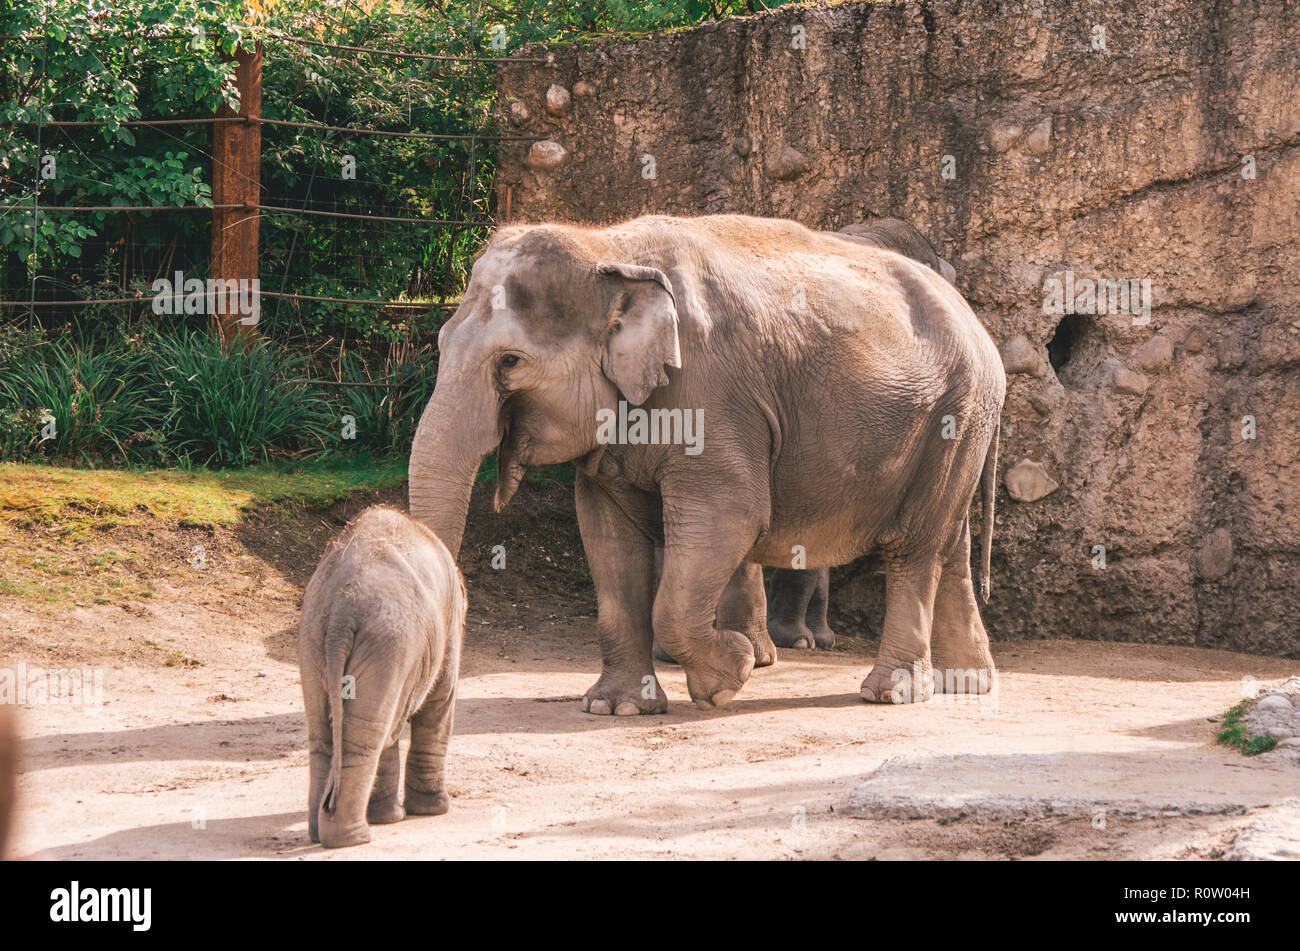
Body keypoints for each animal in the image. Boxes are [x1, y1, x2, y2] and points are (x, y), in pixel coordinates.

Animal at [300, 505, 466, 848]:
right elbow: (439, 704)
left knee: (328, 734)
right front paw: (433, 811)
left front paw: (388, 817)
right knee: (367, 734)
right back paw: (353, 838)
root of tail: (341, 609)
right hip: (390, 639)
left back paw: (320, 832)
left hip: (315, 637)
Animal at [409, 213, 1005, 713]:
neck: (610, 248)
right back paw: (966, 684)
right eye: (439, 341)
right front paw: (616, 707)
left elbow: (729, 517)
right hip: (958, 427)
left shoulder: (713, 398)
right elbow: (607, 535)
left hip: (955, 411)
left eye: (510, 361)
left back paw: (892, 694)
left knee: (913, 547)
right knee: (949, 544)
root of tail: (977, 321)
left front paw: (727, 679)